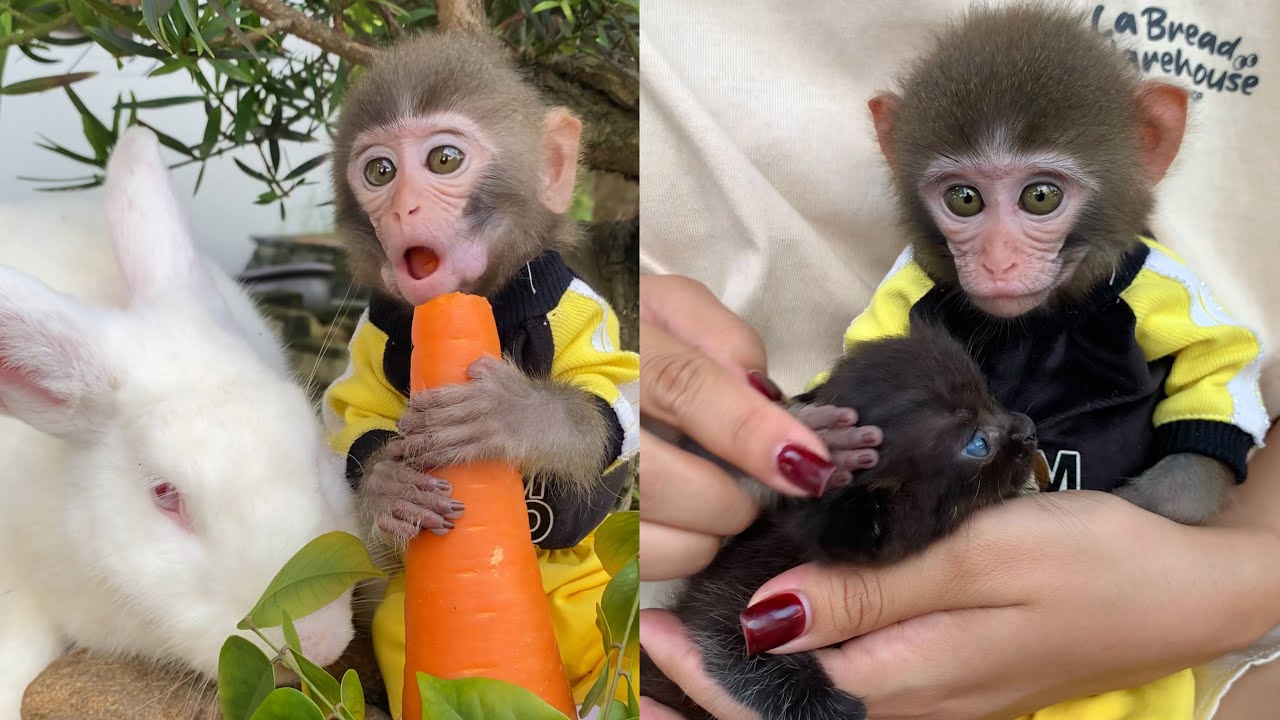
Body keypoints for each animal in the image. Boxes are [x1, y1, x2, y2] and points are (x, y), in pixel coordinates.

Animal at [319, 29, 638, 712]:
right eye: (380, 172)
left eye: (443, 160)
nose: (405, 209)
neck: (488, 298)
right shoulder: (374, 327)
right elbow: (350, 420)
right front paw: (387, 479)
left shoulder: (576, 299)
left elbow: (612, 406)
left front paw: (512, 414)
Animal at [641, 320, 1047, 720]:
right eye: (978, 444)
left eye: (988, 395)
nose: (1028, 428)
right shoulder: (731, 603)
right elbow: (731, 647)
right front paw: (826, 706)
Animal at [830, 3, 1269, 526]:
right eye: (964, 199)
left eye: (1041, 197)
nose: (998, 262)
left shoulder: (1152, 279)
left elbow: (1218, 358)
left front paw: (1174, 494)